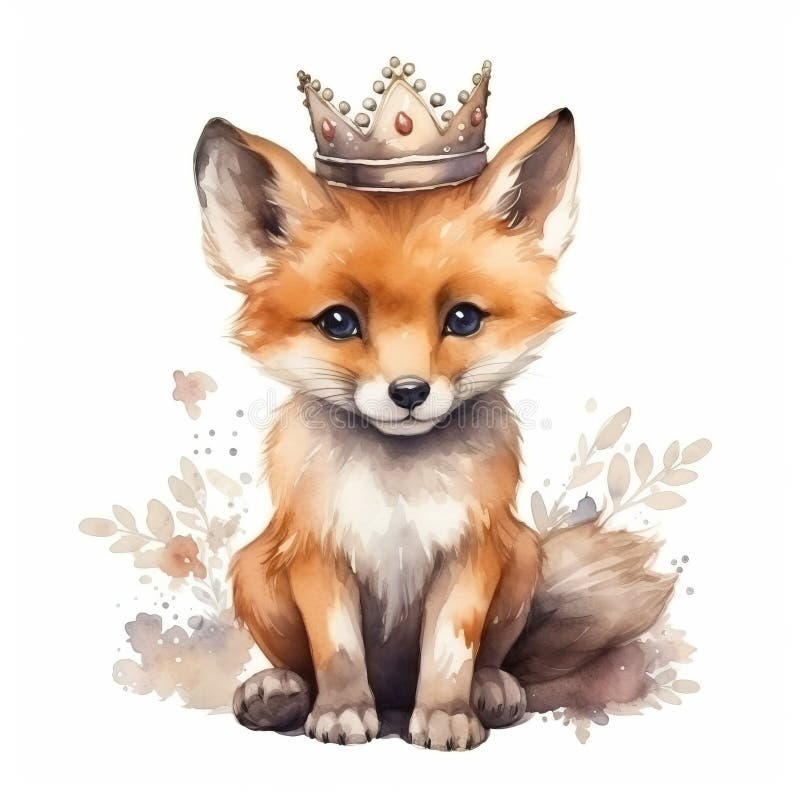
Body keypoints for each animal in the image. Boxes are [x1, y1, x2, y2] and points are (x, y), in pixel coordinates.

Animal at [192, 107, 675, 750]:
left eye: (463, 319)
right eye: (338, 322)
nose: (409, 392)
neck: (399, 493)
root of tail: (394, 693)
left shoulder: (470, 550)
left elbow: (451, 652)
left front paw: (447, 713)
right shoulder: (319, 551)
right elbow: (337, 651)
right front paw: (342, 710)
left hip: (523, 554)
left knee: (494, 658)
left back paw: (492, 689)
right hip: (253, 568)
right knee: (298, 665)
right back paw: (280, 692)